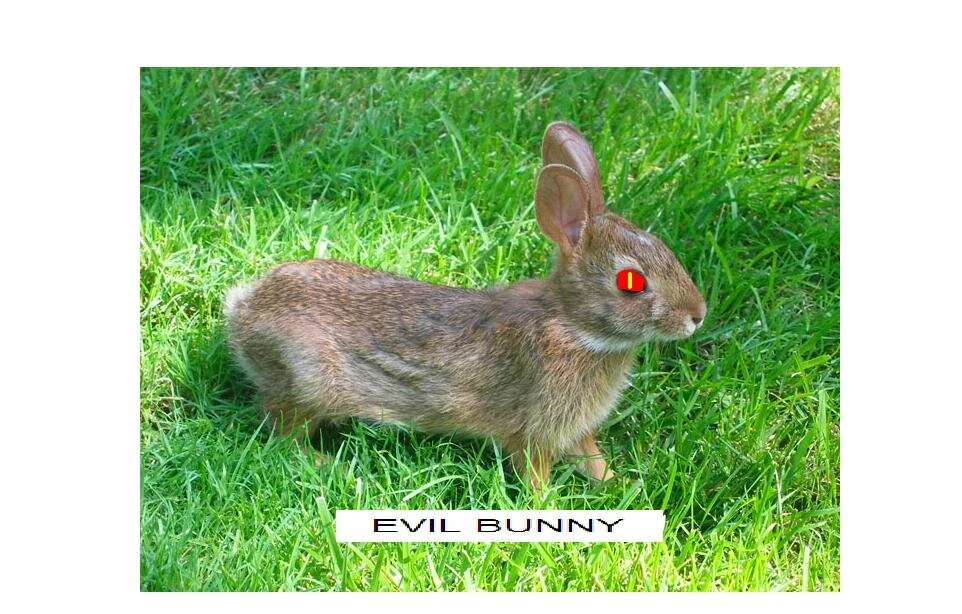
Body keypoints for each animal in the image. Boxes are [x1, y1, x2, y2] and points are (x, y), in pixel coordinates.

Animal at [224, 122, 706, 491]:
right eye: (632, 283)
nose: (696, 315)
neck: (572, 325)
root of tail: (243, 310)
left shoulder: (576, 429)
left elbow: (591, 456)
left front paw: (618, 483)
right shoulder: (534, 429)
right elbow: (533, 471)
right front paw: (546, 506)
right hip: (308, 381)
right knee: (282, 433)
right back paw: (332, 466)